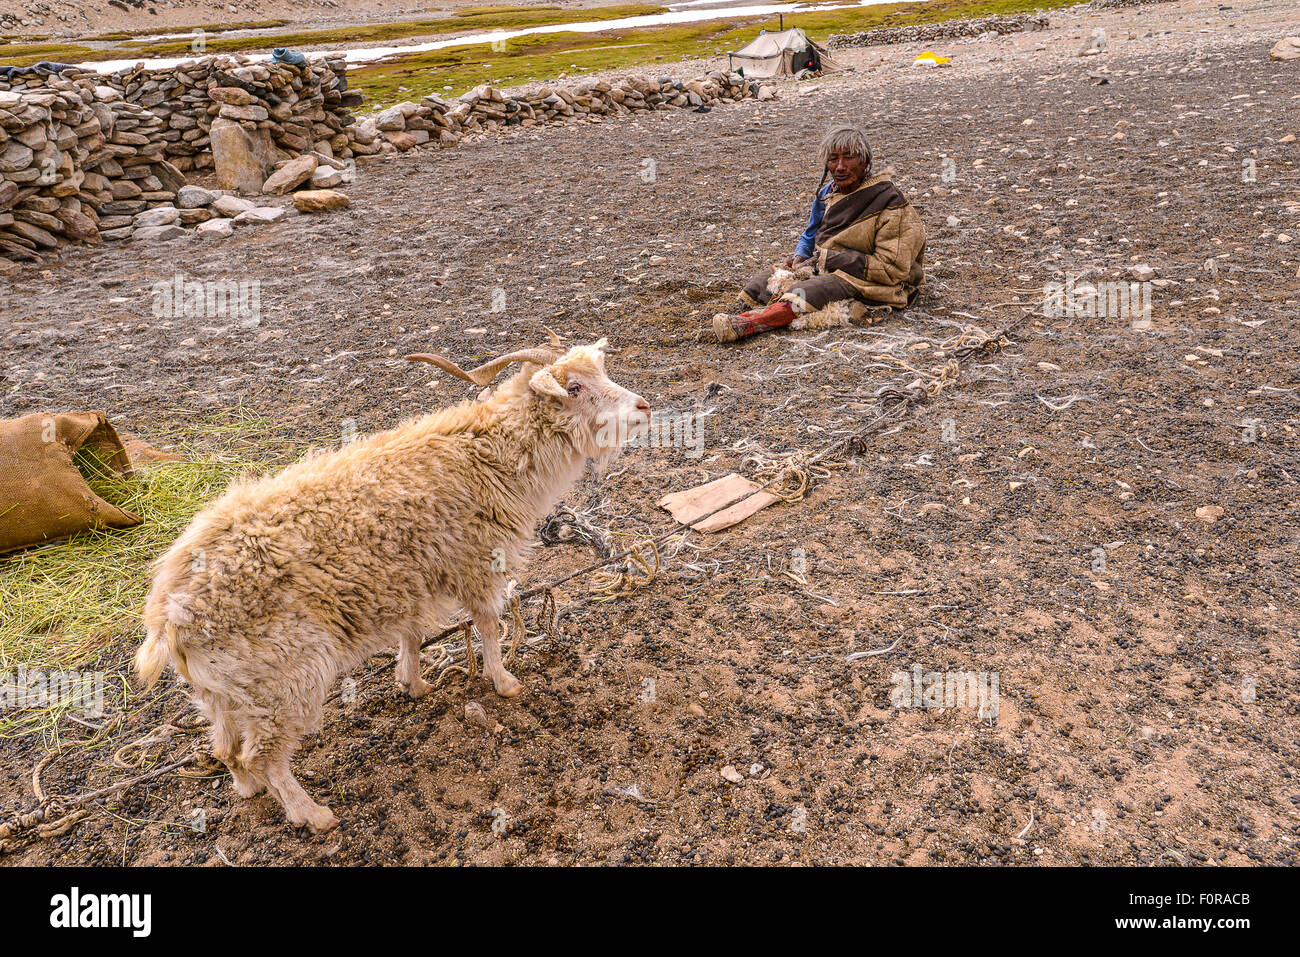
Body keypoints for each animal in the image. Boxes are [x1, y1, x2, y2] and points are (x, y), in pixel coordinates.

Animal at [134, 337, 650, 832]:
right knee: (261, 755)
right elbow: (487, 624)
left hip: (224, 692)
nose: (643, 407)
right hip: (284, 680)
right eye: (574, 387)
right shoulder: (477, 562)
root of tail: (167, 617)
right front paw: (504, 682)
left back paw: (248, 789)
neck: (490, 454)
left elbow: (413, 632)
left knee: (225, 748)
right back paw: (313, 815)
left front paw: (413, 683)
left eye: (600, 370)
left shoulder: (409, 579)